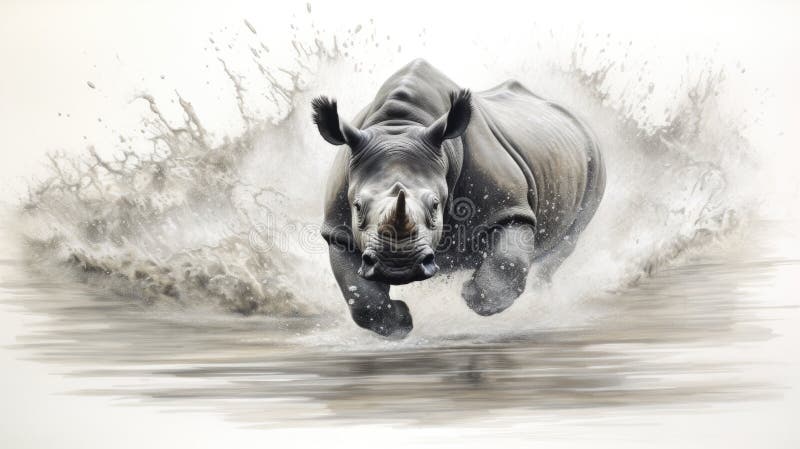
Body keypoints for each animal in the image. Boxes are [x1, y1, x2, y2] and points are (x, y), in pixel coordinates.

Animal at [313, 59, 605, 338]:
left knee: (562, 247)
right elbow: (360, 297)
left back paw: (540, 304)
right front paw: (401, 325)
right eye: (357, 207)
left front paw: (471, 293)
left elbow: (506, 263)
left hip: (595, 163)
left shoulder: (509, 209)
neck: (400, 125)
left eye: (435, 206)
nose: (398, 266)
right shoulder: (338, 230)